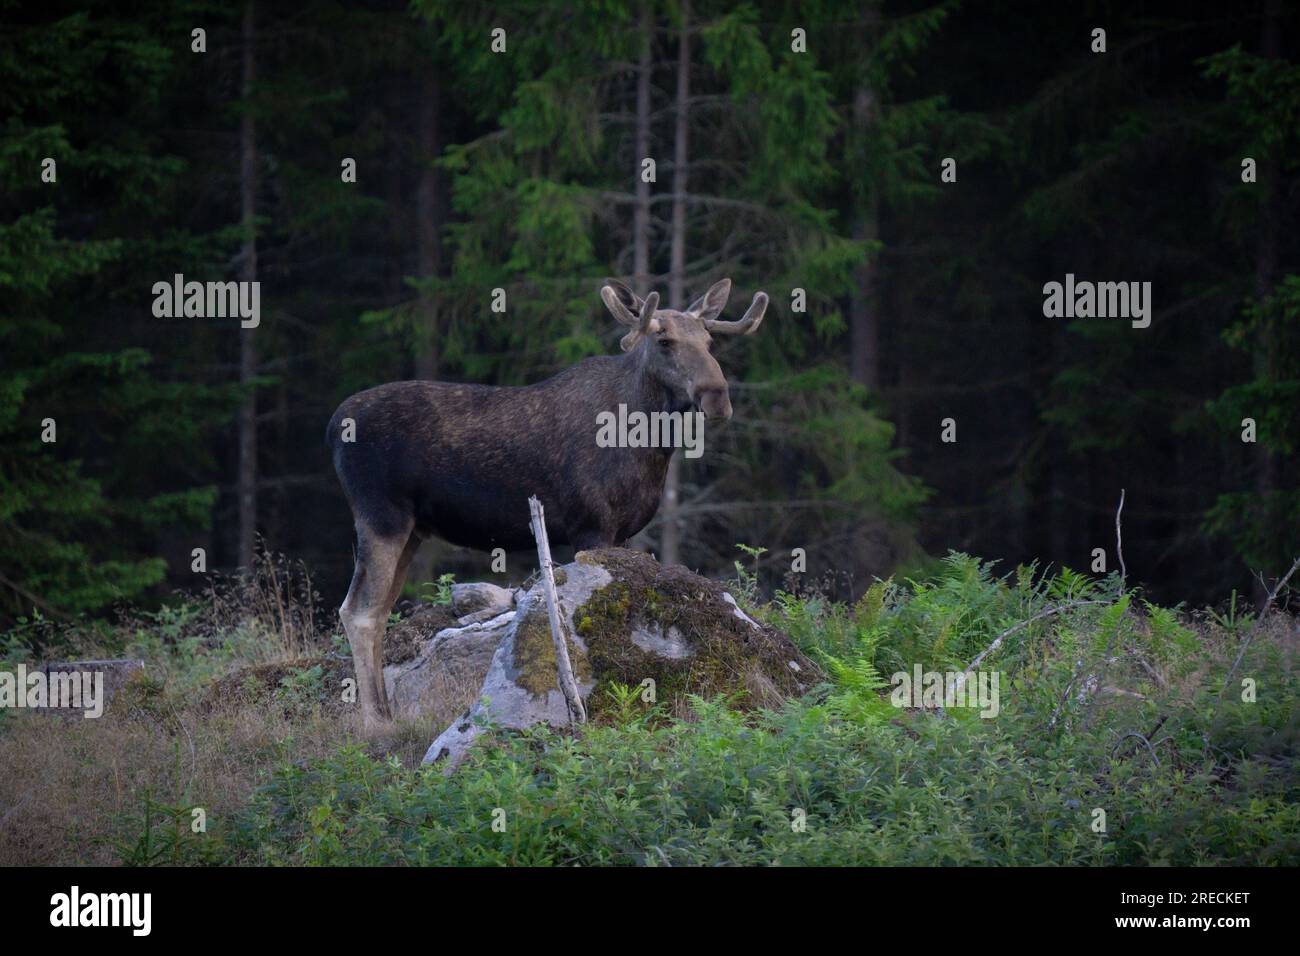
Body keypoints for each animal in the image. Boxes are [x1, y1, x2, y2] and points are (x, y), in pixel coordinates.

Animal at [326, 277, 768, 729]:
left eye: (710, 340)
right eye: (664, 340)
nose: (717, 397)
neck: (650, 446)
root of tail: (332, 425)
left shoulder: (624, 533)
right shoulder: (591, 525)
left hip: (413, 528)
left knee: (378, 610)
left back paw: (388, 712)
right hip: (382, 515)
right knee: (359, 611)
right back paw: (376, 722)